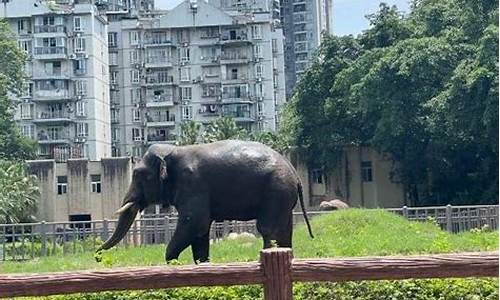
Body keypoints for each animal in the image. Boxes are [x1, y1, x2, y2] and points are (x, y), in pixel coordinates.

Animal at [96, 141, 314, 262]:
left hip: (276, 190)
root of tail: (295, 174)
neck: (173, 150)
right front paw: (201, 264)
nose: (97, 256)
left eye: (138, 175)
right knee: (284, 230)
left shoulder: (193, 184)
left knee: (268, 229)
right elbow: (200, 233)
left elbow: (194, 223)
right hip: (283, 196)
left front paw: (172, 263)